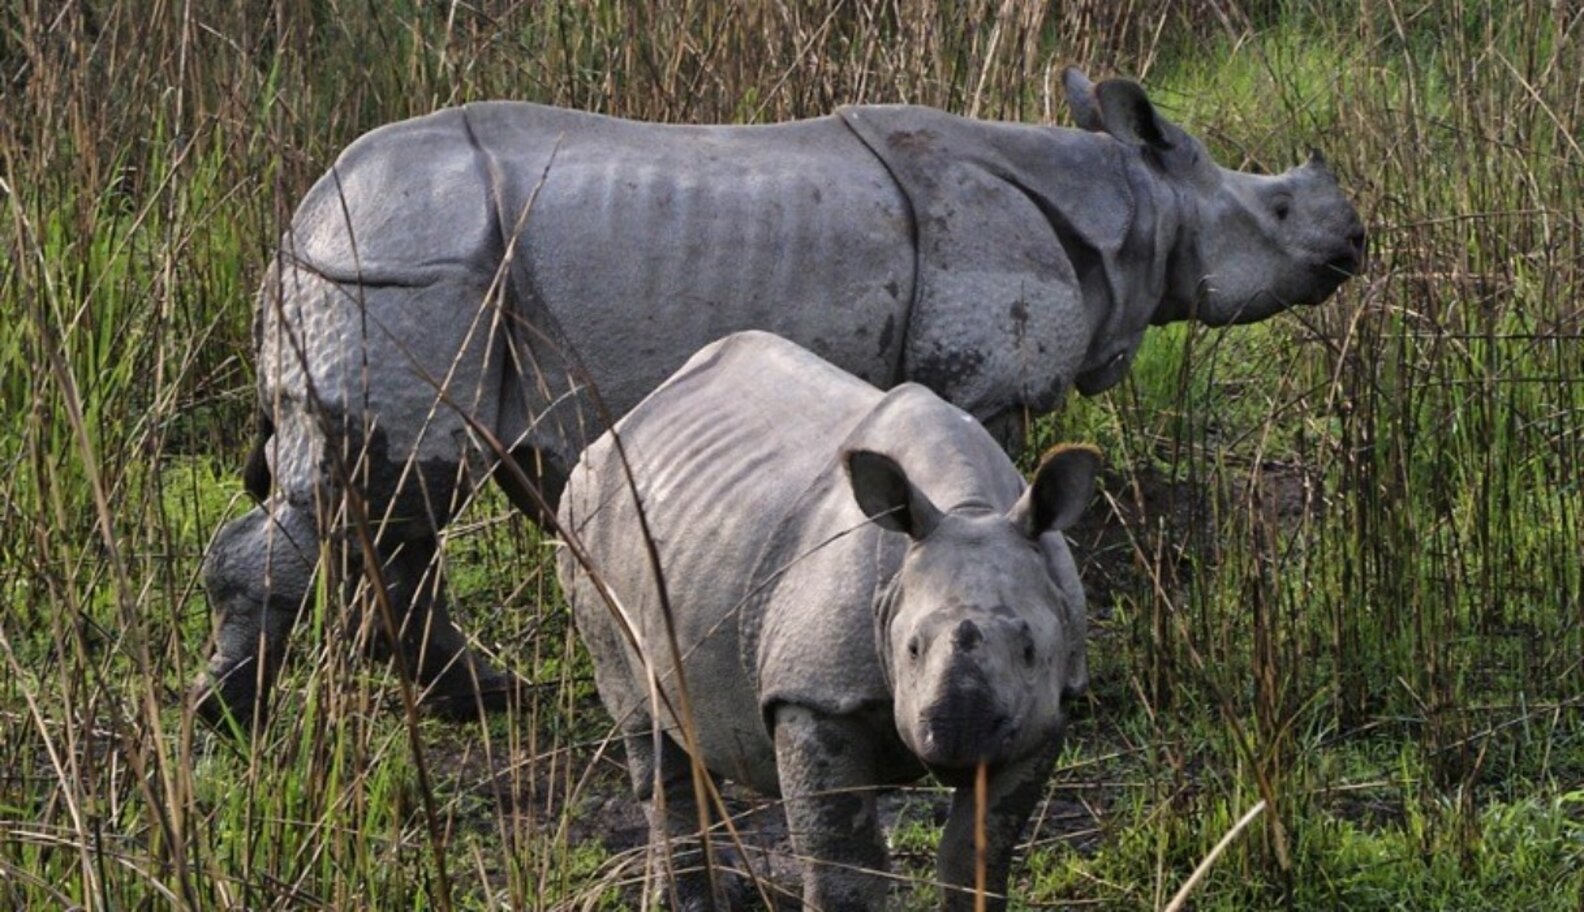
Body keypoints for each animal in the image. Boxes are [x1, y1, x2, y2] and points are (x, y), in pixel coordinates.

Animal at [194, 69, 1363, 727]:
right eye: (1279, 208)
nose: (1355, 243)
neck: (1135, 200)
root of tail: (304, 217)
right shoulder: (979, 381)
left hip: (394, 260)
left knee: (393, 506)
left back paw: (474, 703)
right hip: (404, 267)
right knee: (382, 486)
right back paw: (235, 721)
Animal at [558, 331, 1102, 911]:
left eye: (1029, 650)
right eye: (911, 648)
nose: (961, 732)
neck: (969, 508)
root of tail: (629, 417)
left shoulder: (1047, 707)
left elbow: (980, 851)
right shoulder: (815, 693)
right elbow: (842, 860)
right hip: (584, 526)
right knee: (641, 718)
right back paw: (692, 899)